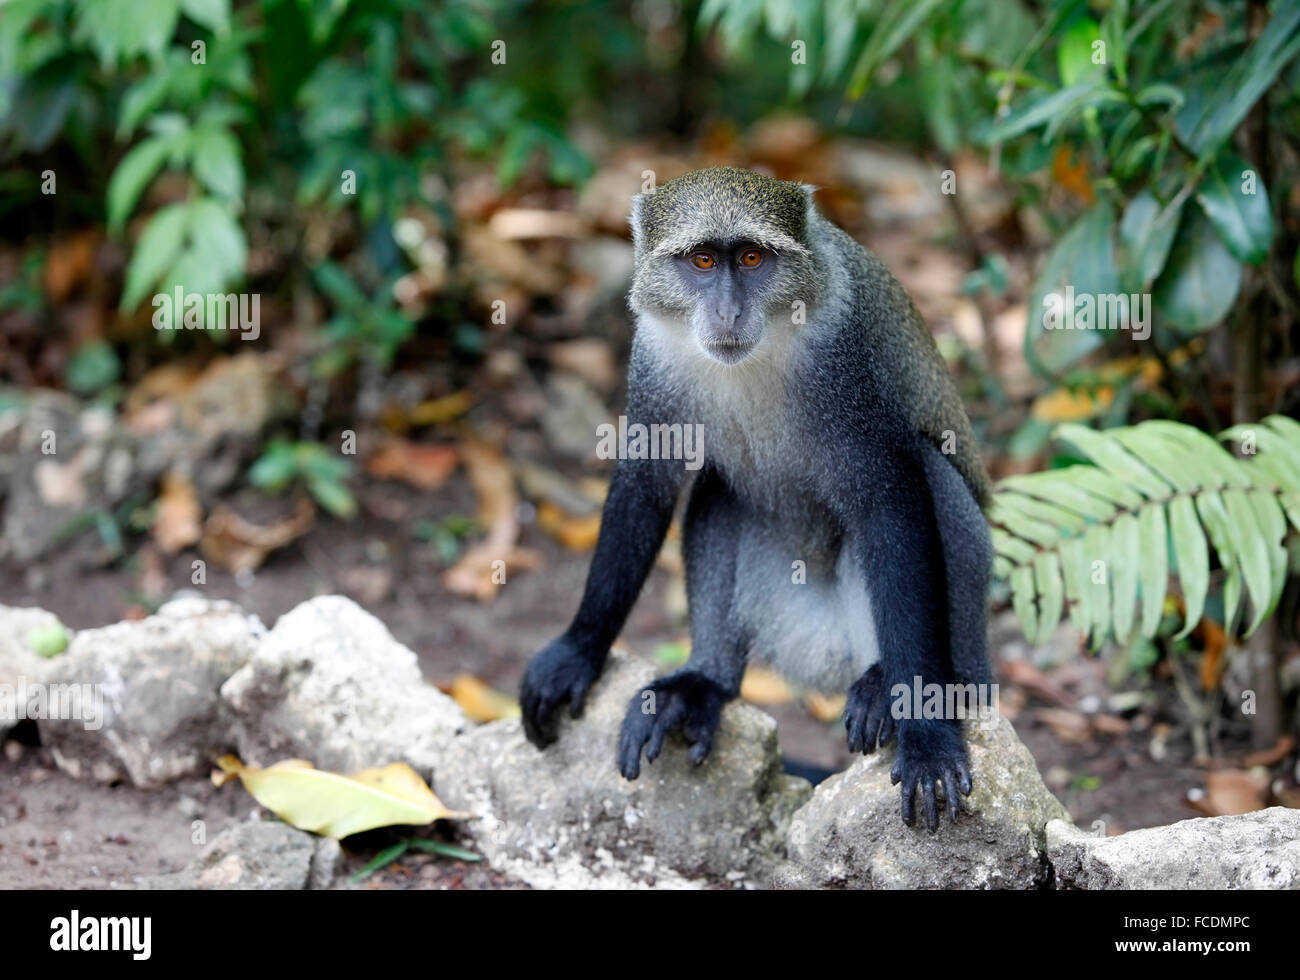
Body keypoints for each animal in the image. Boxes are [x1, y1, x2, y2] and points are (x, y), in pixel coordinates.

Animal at [520, 166, 993, 833]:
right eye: (701, 260)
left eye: (750, 258)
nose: (728, 310)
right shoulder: (653, 358)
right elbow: (645, 487)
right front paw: (577, 651)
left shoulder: (847, 361)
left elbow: (891, 501)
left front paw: (927, 734)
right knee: (718, 488)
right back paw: (704, 683)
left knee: (928, 470)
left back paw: (888, 682)